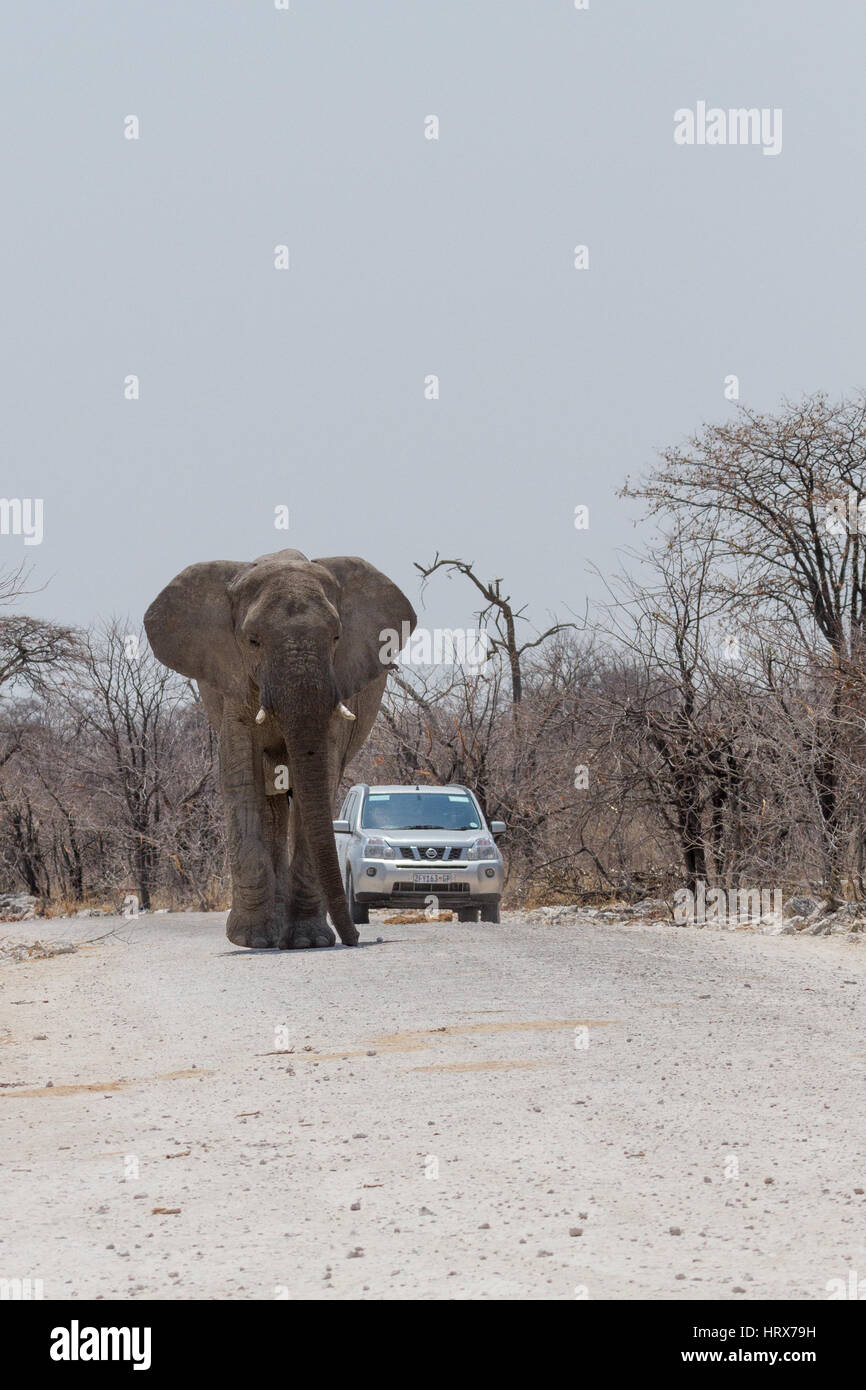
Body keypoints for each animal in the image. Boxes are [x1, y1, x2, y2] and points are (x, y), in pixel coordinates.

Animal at [144, 549, 416, 950]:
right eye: (253, 641)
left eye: (337, 637)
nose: (356, 938)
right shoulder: (234, 686)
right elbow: (242, 779)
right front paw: (251, 940)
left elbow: (319, 778)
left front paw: (309, 941)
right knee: (270, 804)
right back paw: (271, 932)